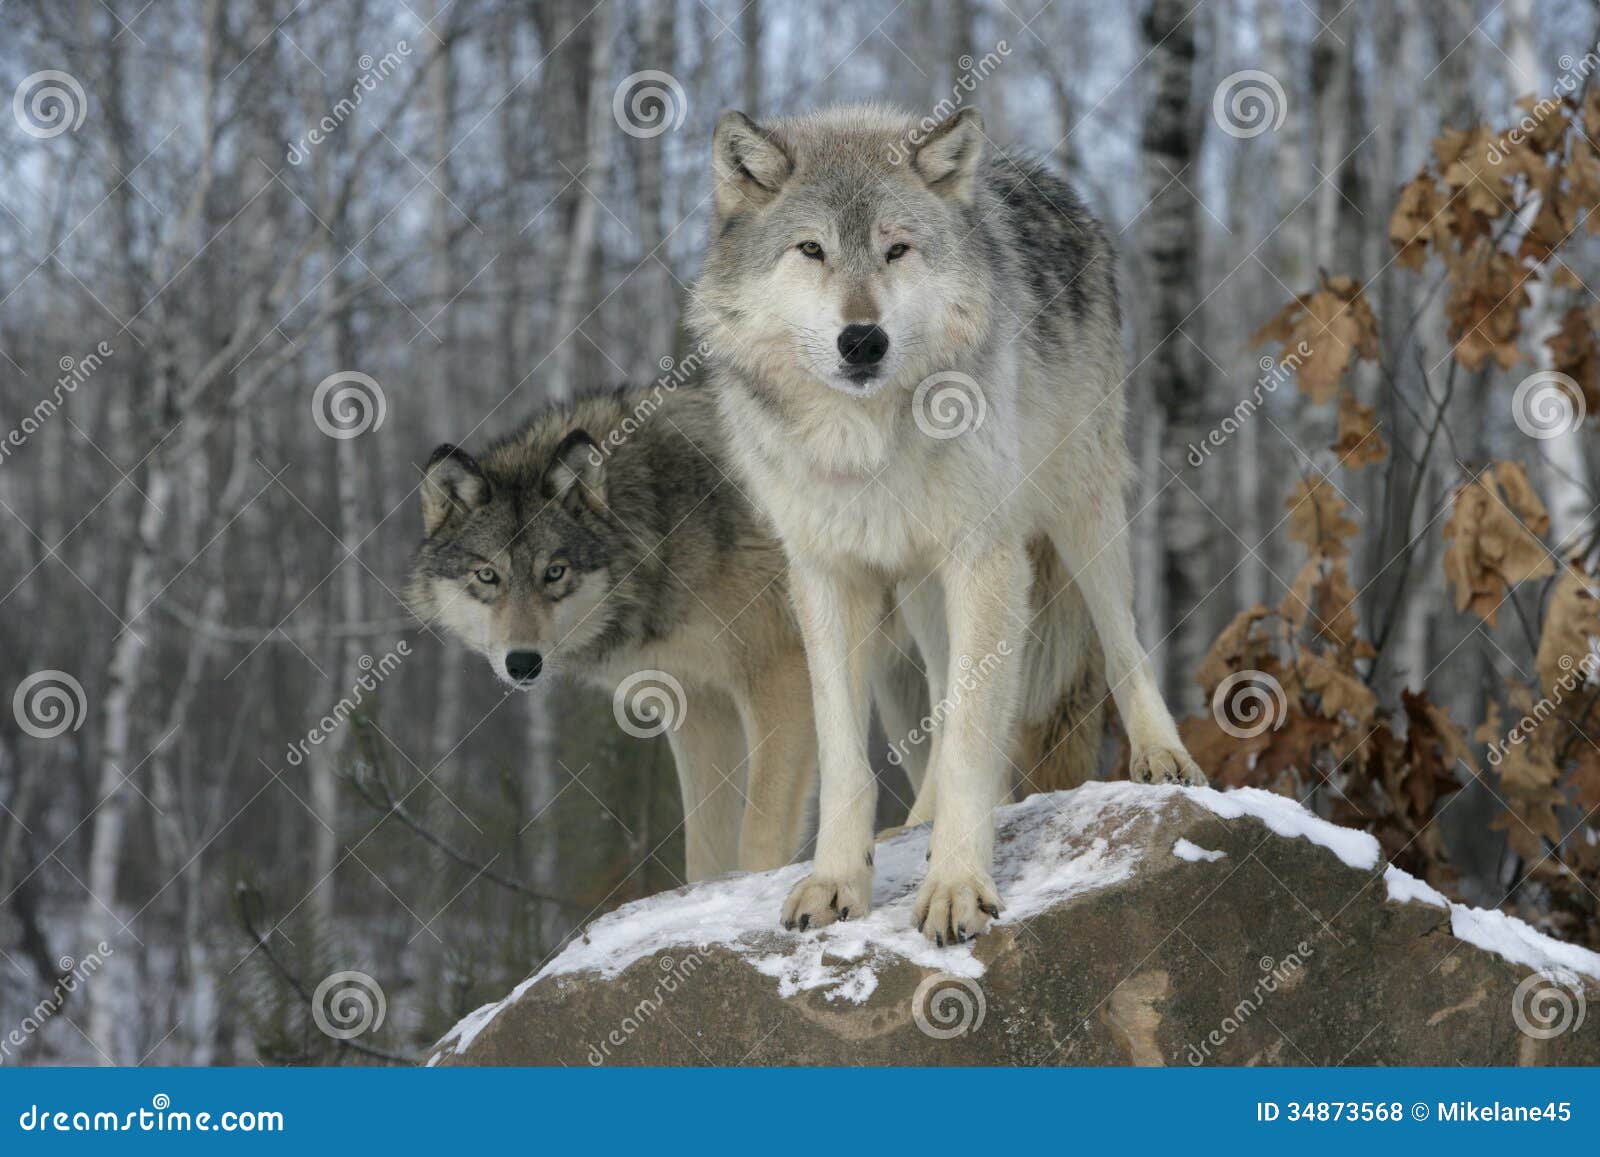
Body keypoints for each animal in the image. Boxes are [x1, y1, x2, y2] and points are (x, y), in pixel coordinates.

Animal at [690, 104, 1206, 944]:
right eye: (811, 249)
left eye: (897, 248)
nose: (862, 339)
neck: (863, 437)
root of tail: (1043, 177)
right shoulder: (826, 577)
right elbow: (848, 756)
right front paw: (838, 881)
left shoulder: (985, 558)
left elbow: (970, 738)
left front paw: (958, 886)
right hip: (921, 584)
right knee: (938, 694)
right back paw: (917, 823)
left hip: (1081, 509)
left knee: (1122, 640)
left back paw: (1163, 755)